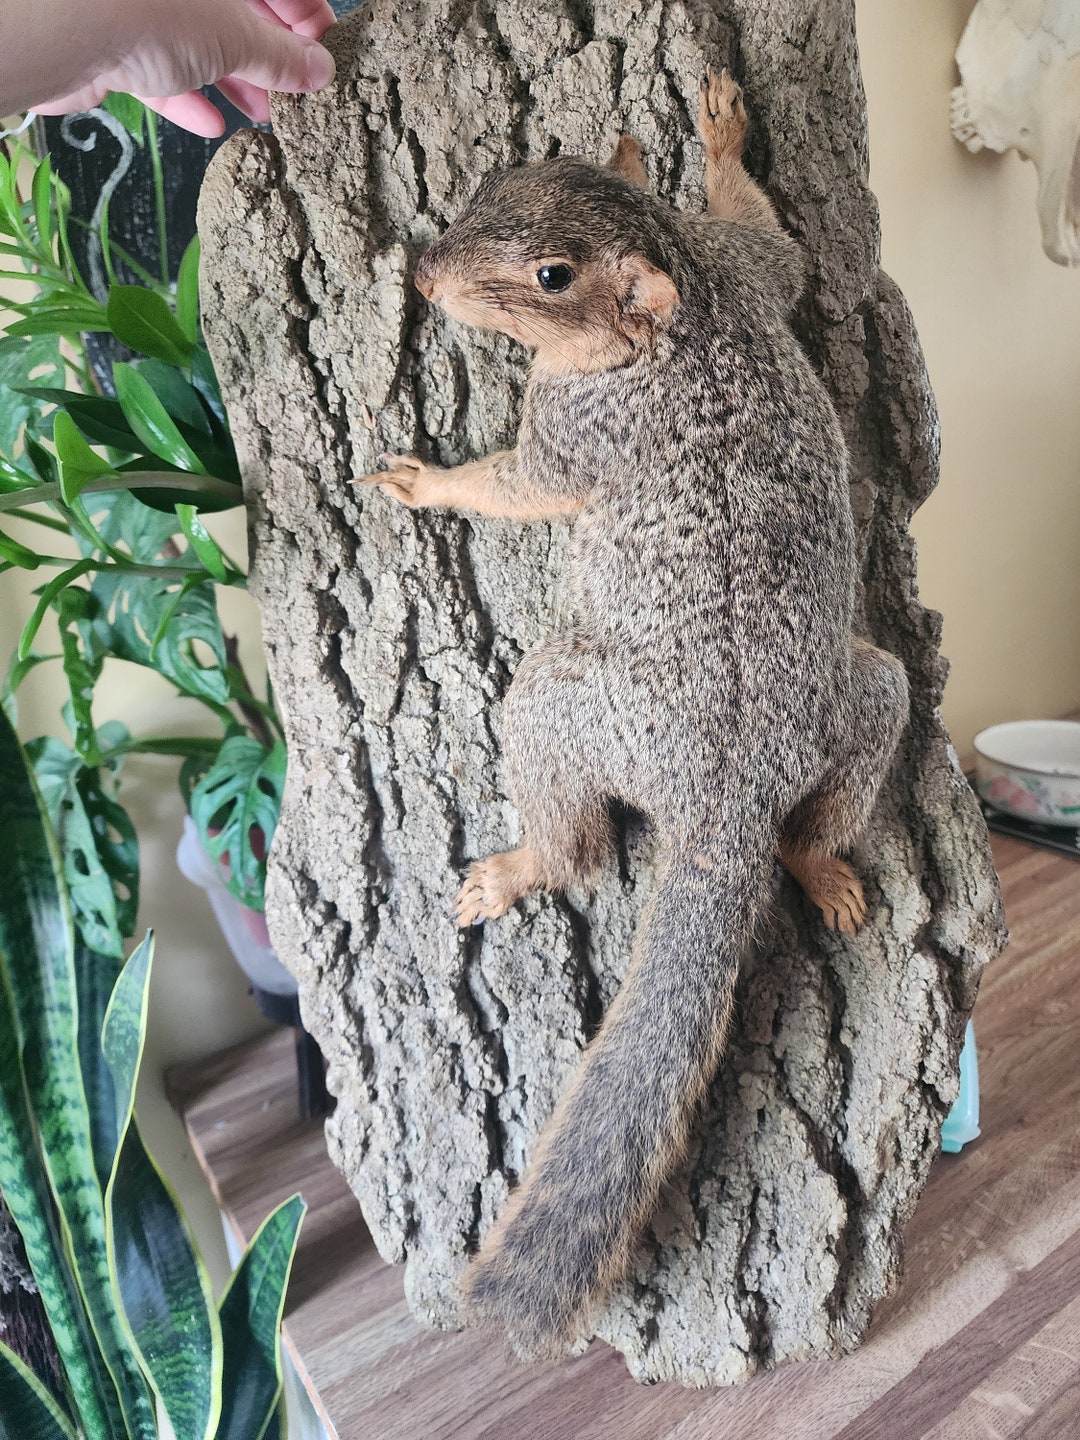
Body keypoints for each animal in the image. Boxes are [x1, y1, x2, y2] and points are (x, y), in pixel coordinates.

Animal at [355, 69, 910, 1358]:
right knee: (838, 787)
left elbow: (514, 483)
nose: (425, 276)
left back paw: (516, 869)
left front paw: (425, 480)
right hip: (865, 699)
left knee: (576, 833)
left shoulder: (579, 434)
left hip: (562, 705)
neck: (686, 299)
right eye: (500, 179)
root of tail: (729, 796)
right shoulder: (744, 260)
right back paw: (824, 869)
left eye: (553, 276)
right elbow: (771, 233)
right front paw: (717, 129)